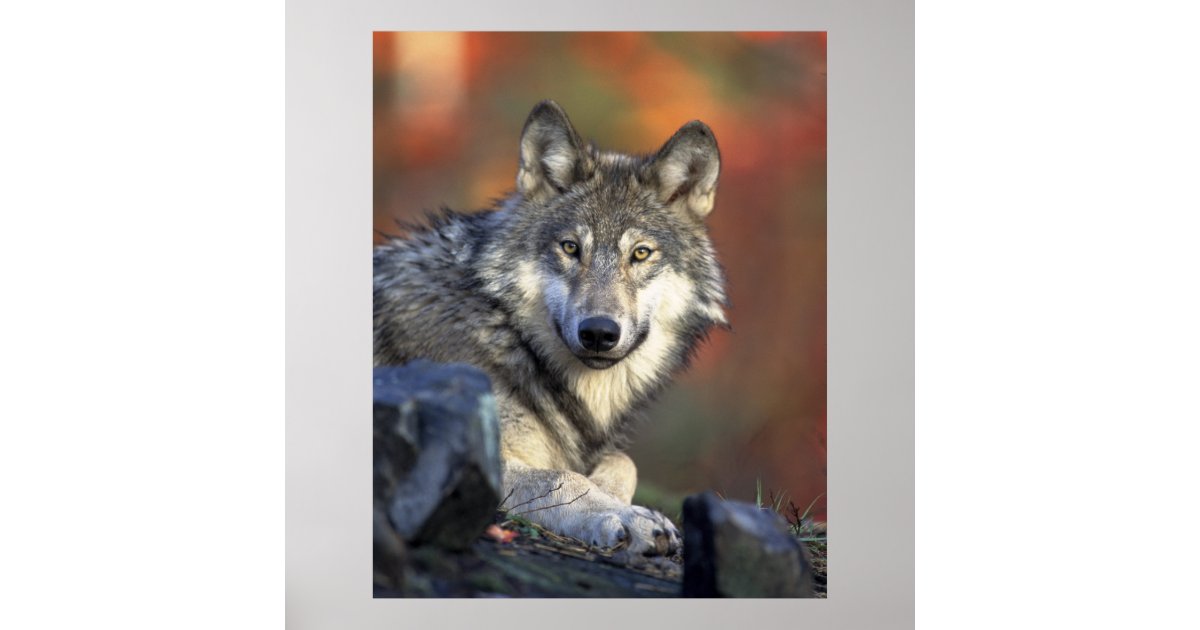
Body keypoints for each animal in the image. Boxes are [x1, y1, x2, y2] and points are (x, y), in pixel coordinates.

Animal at [374, 100, 728, 556]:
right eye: (571, 248)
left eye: (640, 253)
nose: (599, 333)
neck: (507, 334)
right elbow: (563, 477)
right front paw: (627, 517)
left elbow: (623, 461)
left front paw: (618, 500)